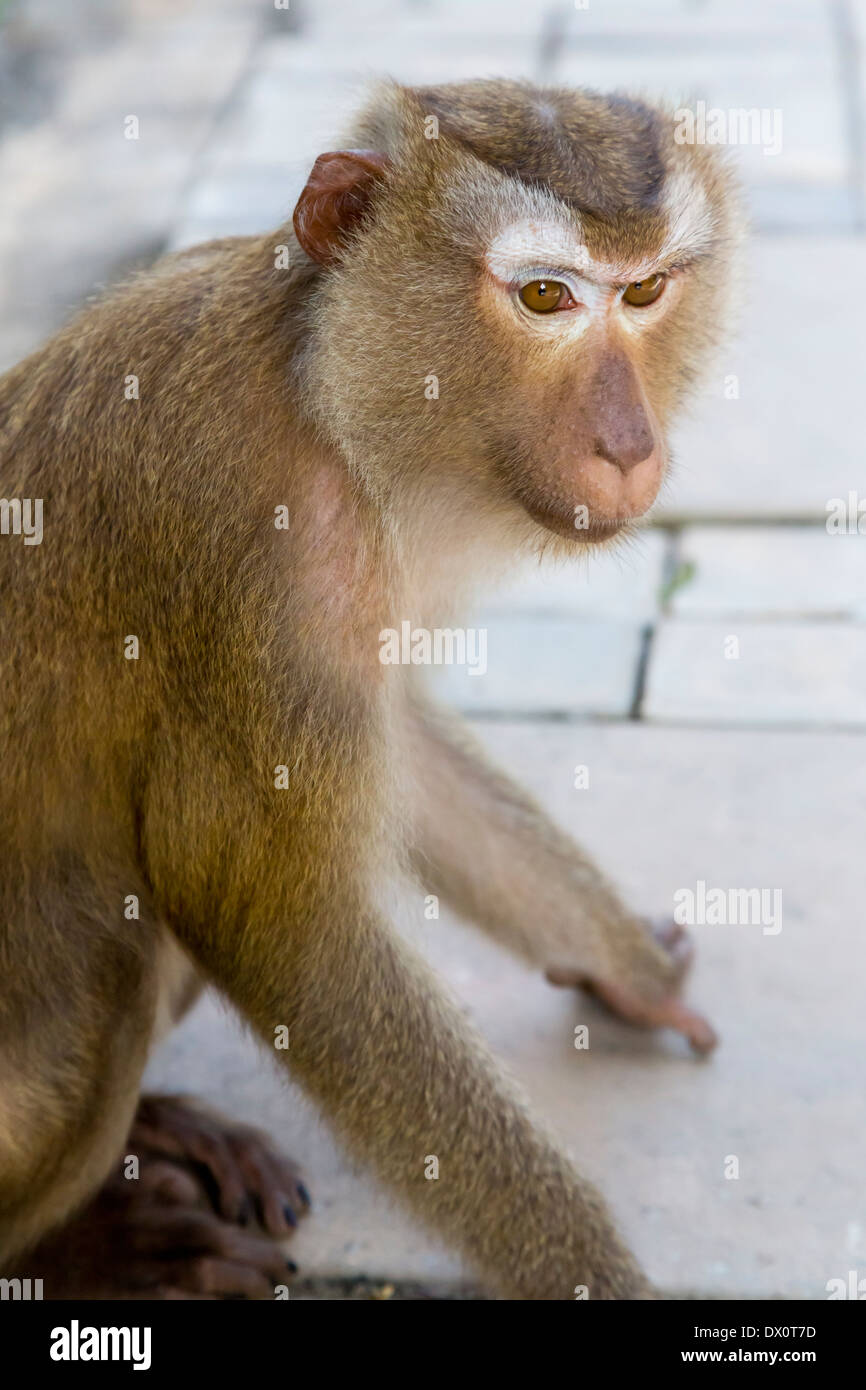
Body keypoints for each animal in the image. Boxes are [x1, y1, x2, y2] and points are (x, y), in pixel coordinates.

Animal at [0, 79, 740, 1300]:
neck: (322, 399)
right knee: (110, 950)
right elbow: (287, 934)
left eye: (643, 291)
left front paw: (625, 964)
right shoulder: (259, 547)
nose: (630, 443)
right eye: (545, 296)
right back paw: (82, 1246)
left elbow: (403, 747)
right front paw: (589, 1272)